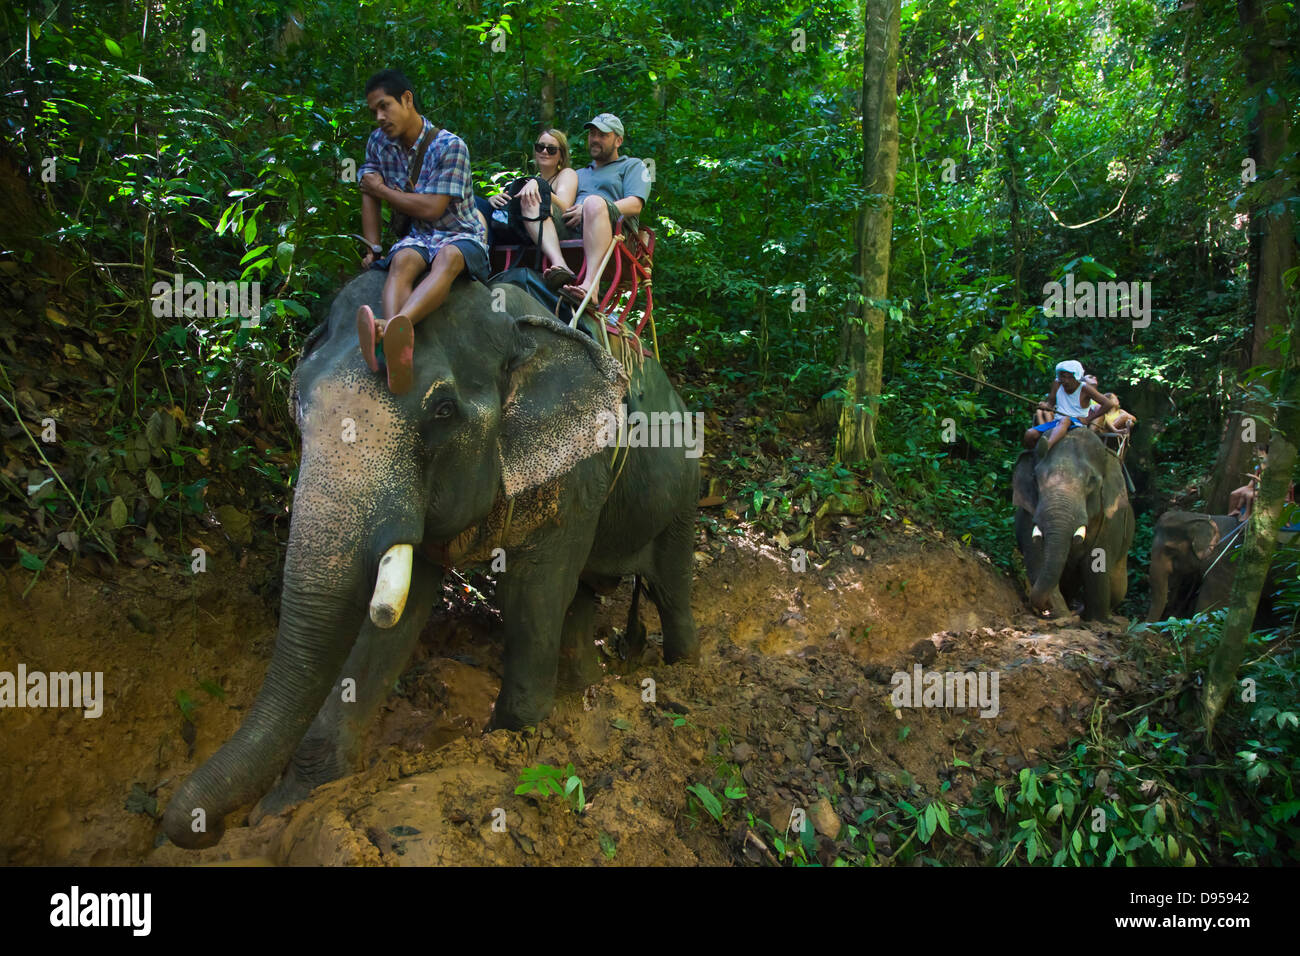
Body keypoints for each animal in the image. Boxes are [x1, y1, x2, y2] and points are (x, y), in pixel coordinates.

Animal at [162, 269, 700, 849]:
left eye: (443, 411)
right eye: (298, 401)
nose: (203, 826)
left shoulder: (579, 470)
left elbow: (533, 594)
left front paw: (512, 745)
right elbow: (400, 614)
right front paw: (289, 804)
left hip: (685, 486)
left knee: (668, 585)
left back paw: (684, 671)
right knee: (583, 596)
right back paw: (584, 691)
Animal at [1012, 427, 1135, 620]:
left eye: (1092, 481)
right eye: (1035, 478)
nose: (1046, 608)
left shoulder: (1110, 524)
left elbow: (1095, 565)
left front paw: (1095, 620)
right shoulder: (1028, 512)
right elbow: (1036, 558)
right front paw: (1059, 612)